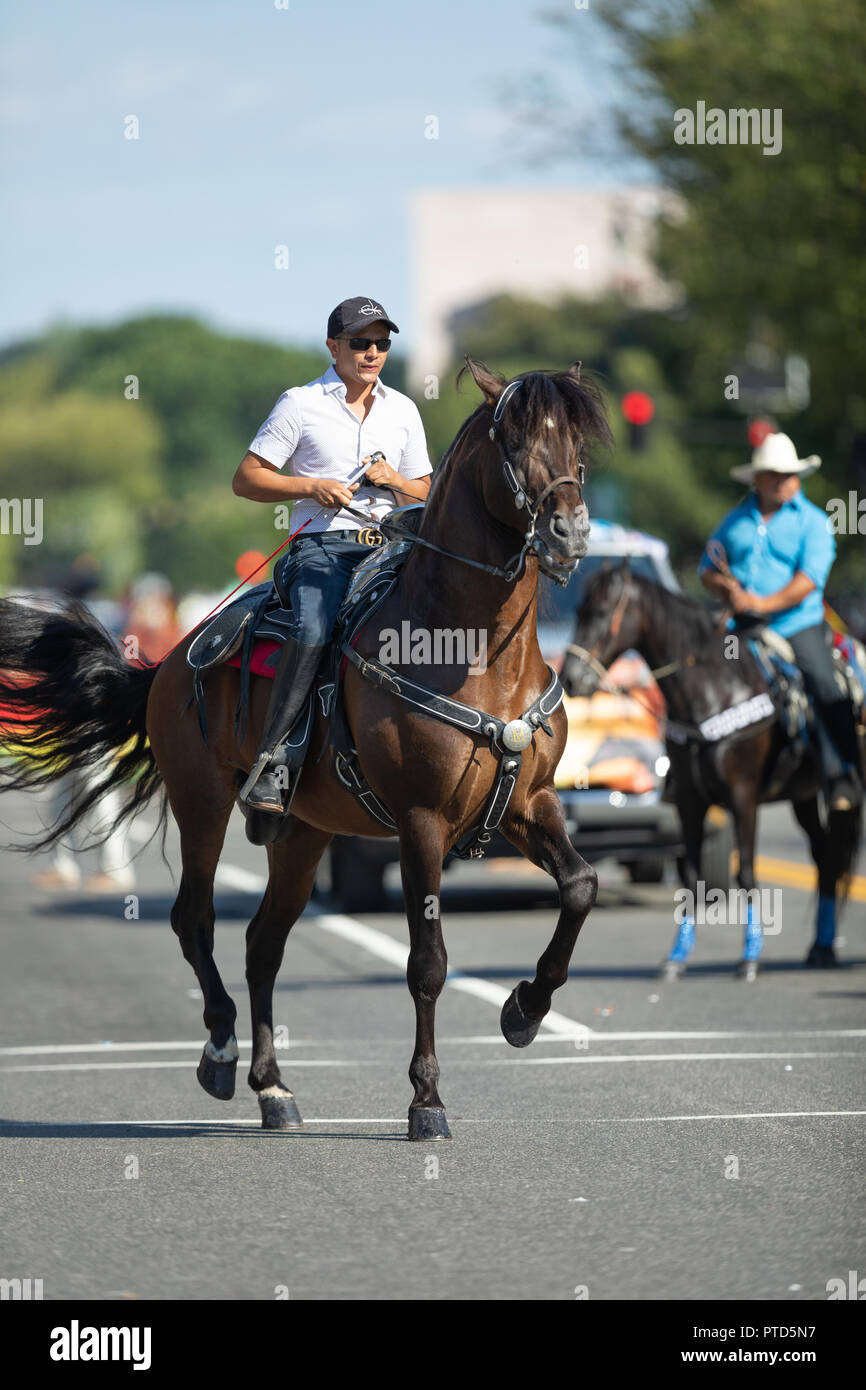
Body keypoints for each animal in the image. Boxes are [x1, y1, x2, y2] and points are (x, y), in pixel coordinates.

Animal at [0, 358, 612, 1140]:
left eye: (578, 443)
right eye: (515, 438)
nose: (569, 532)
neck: (472, 648)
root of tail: (166, 662)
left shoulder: (527, 804)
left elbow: (581, 887)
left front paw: (524, 1010)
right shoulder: (421, 822)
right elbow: (428, 962)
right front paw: (427, 1101)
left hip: (303, 833)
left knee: (263, 942)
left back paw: (273, 1088)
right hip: (203, 804)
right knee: (195, 921)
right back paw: (222, 1053)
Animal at [560, 564, 863, 980]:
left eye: (602, 611)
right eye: (579, 611)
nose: (570, 679)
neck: (714, 692)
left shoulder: (743, 798)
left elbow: (746, 873)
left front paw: (750, 957)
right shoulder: (690, 802)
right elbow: (690, 875)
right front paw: (676, 957)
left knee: (830, 853)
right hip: (802, 795)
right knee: (824, 857)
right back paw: (821, 946)